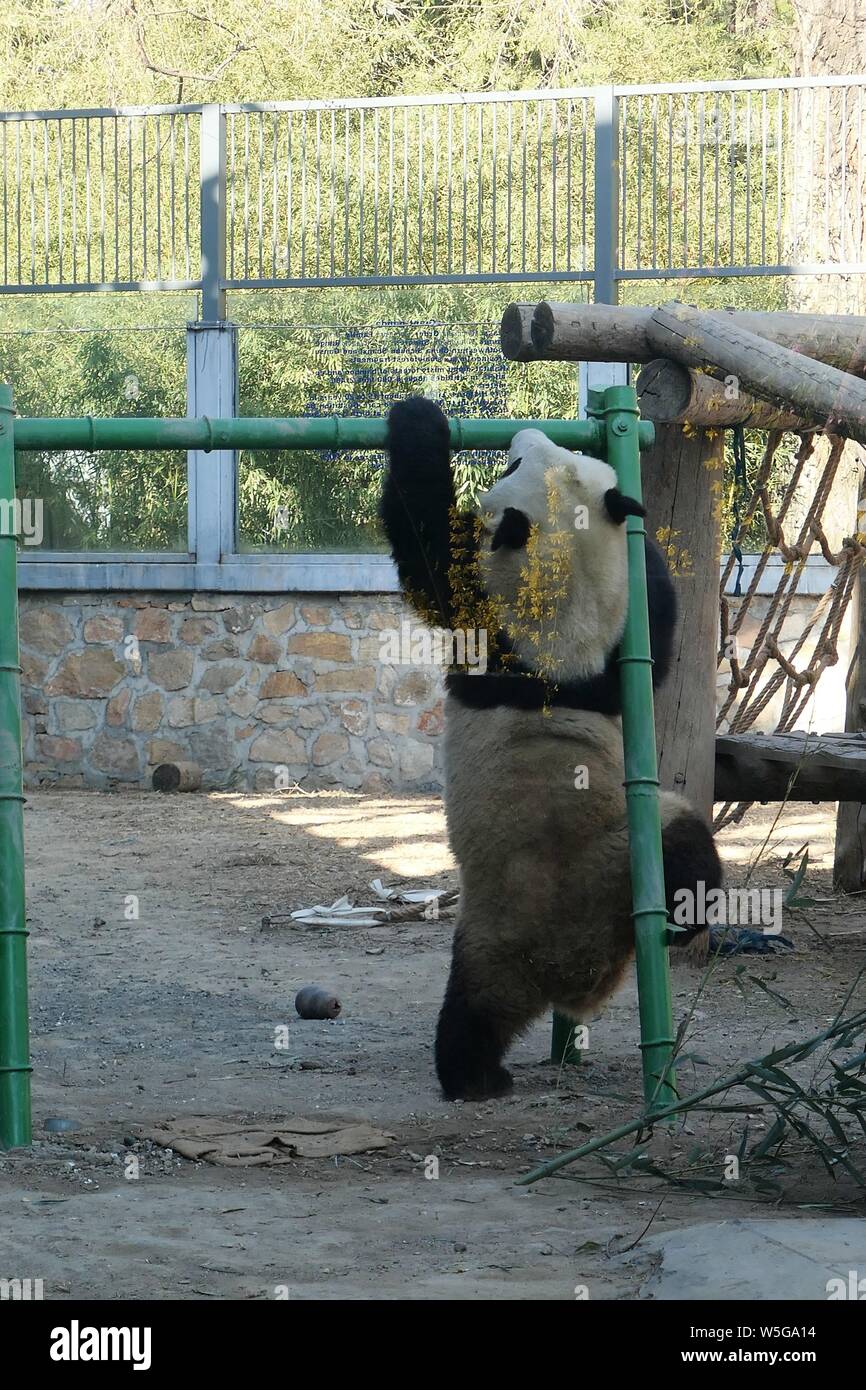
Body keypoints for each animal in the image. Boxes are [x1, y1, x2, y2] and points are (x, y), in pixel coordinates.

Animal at [381, 396, 722, 1101]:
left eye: (513, 465)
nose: (524, 434)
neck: (565, 623)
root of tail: (574, 976)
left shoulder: (487, 626)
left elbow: (426, 549)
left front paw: (418, 422)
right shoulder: (608, 669)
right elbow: (658, 639)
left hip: (514, 920)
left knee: (463, 1016)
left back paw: (471, 1080)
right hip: (532, 918)